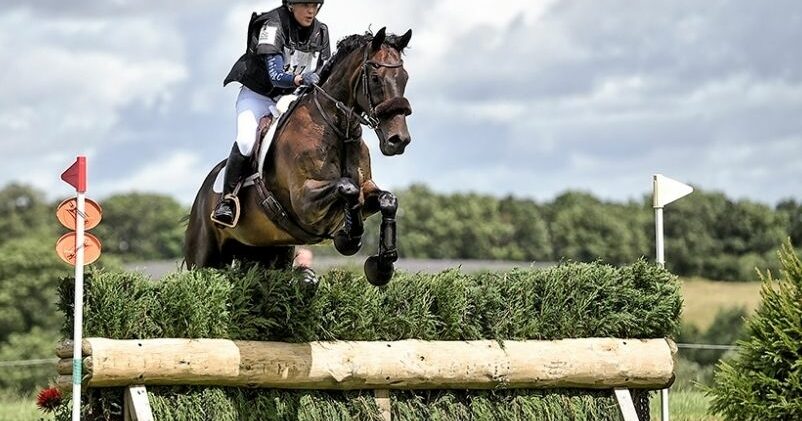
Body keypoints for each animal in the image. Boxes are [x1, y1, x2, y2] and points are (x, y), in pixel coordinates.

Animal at [184, 28, 413, 286]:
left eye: (404, 78)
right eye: (375, 78)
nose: (398, 140)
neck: (336, 129)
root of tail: (200, 197)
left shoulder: (367, 187)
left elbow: (388, 200)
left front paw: (382, 266)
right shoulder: (304, 200)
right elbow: (347, 187)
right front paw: (348, 238)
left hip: (267, 248)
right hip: (203, 255)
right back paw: (226, 211)